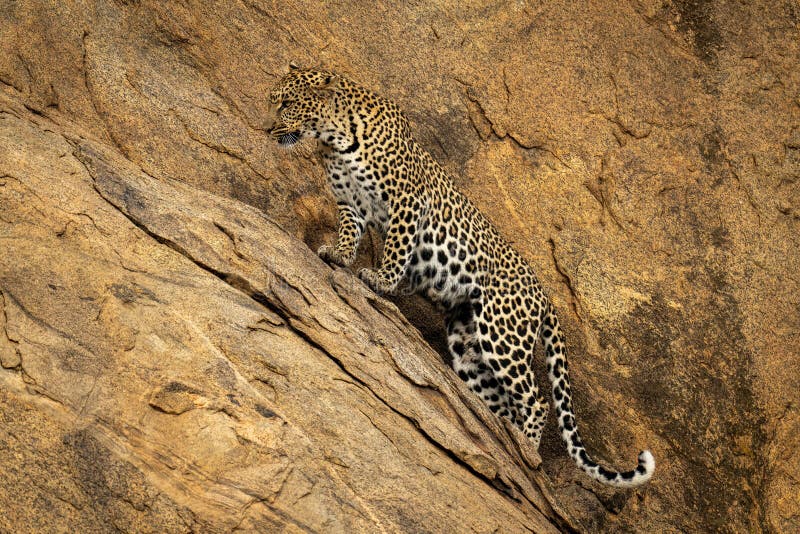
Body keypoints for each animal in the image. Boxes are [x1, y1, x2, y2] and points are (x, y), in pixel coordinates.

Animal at [266, 64, 655, 488]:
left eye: (286, 103)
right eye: (274, 101)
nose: (267, 128)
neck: (334, 138)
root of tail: (545, 297)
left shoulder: (408, 200)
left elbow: (397, 246)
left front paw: (382, 279)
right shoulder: (348, 203)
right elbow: (348, 233)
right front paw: (337, 255)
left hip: (503, 334)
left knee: (535, 399)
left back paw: (527, 450)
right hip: (469, 344)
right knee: (505, 401)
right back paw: (504, 436)